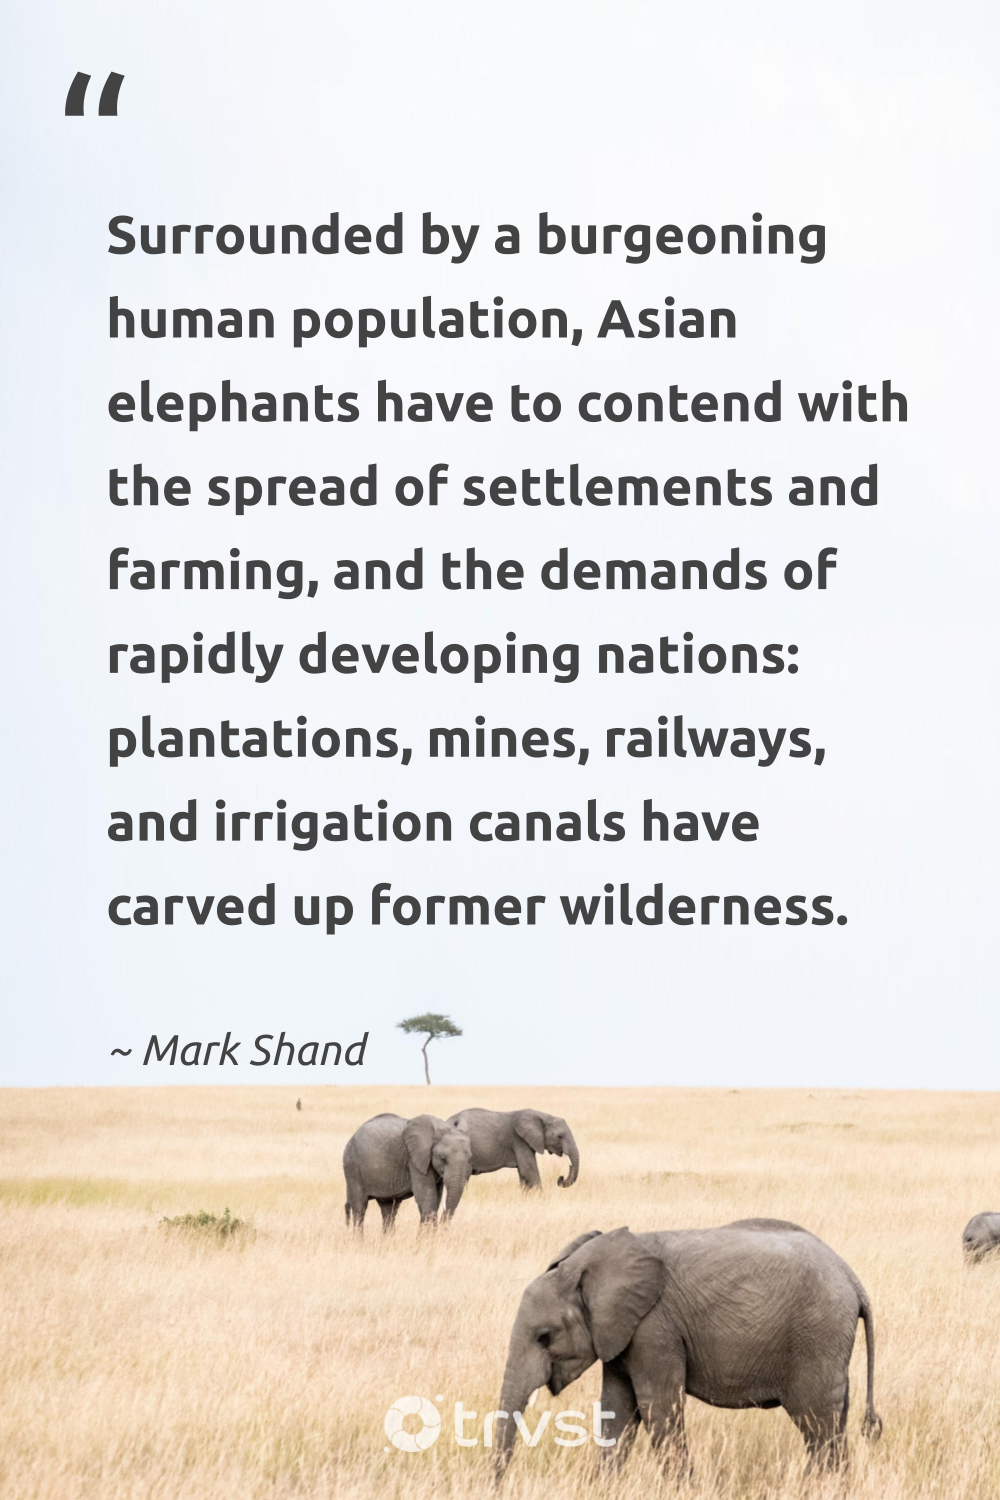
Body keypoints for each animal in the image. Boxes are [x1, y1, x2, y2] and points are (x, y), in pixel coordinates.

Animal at [343, 1113, 471, 1230]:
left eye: (470, 1159)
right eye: (442, 1158)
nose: (443, 1228)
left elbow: (436, 1200)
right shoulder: (414, 1159)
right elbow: (427, 1198)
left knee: (387, 1208)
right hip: (352, 1166)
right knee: (360, 1207)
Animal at [445, 1107, 579, 1190]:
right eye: (560, 1136)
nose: (560, 1178)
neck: (543, 1116)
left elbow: (523, 1174)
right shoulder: (519, 1140)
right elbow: (529, 1170)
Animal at [494, 1219, 881, 1479]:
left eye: (544, 1336)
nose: (497, 1483)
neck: (586, 1266)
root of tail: (853, 1280)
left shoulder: (653, 1329)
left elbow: (657, 1407)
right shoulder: (619, 1334)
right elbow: (617, 1409)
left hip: (816, 1337)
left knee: (816, 1421)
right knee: (832, 1421)